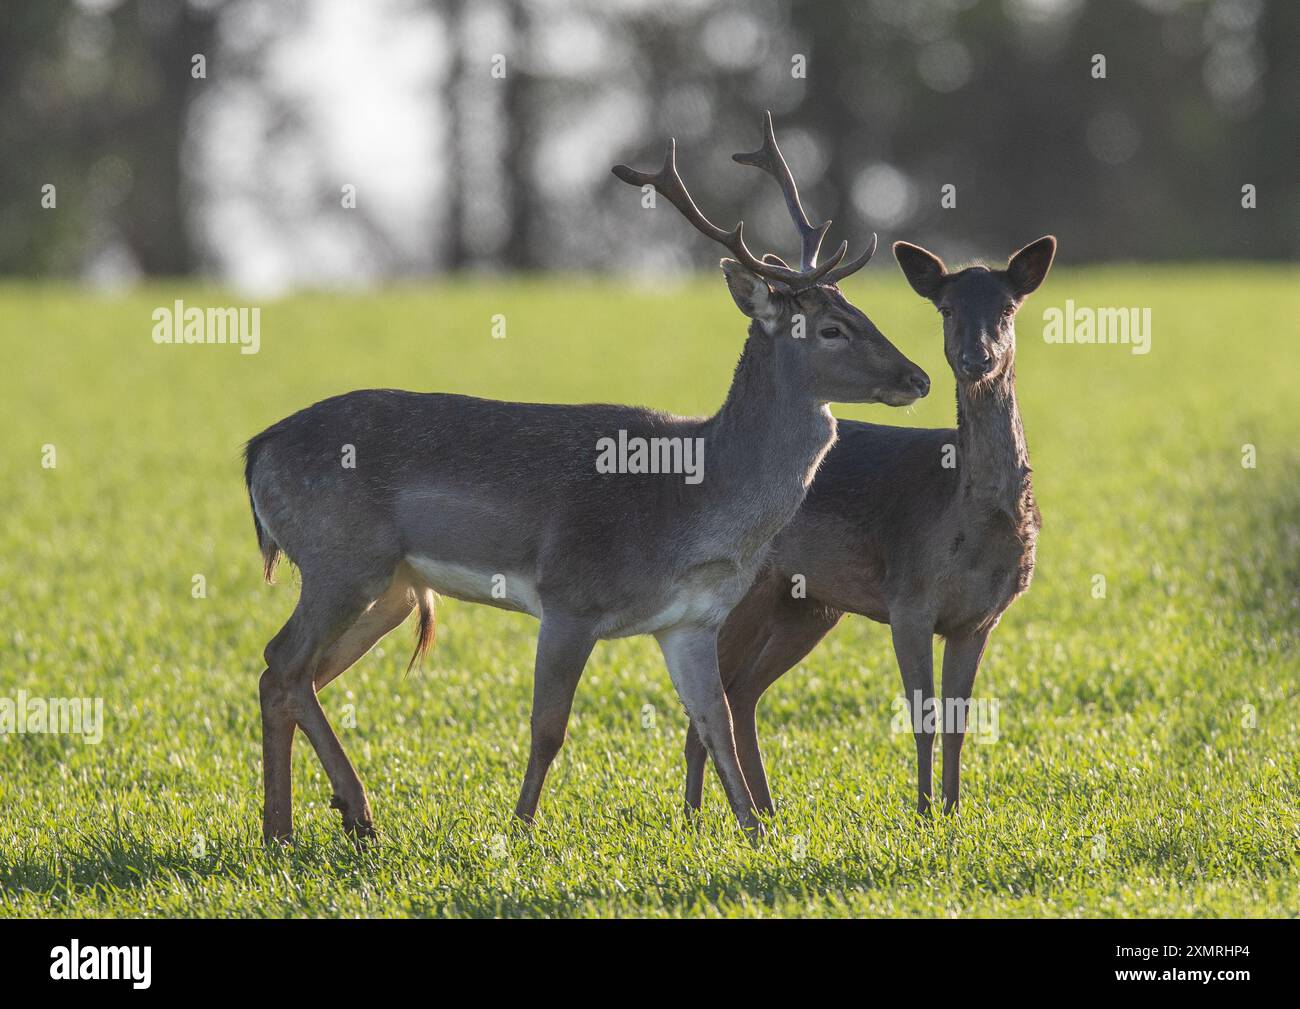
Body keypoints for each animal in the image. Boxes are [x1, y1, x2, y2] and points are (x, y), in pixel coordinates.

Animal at [242, 112, 931, 844]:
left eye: (862, 313)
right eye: (832, 328)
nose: (918, 377)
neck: (689, 500)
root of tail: (257, 449)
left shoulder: (690, 621)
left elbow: (714, 723)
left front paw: (755, 834)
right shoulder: (569, 595)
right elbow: (548, 729)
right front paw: (518, 831)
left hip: (391, 588)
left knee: (284, 675)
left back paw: (290, 827)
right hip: (342, 559)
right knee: (284, 662)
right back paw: (347, 814)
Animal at [682, 235, 1057, 819]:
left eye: (1007, 308)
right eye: (946, 309)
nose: (976, 360)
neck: (970, 522)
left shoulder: (980, 619)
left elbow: (959, 723)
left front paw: (954, 810)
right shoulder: (908, 598)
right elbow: (924, 718)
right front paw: (924, 813)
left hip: (806, 607)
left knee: (741, 694)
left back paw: (764, 810)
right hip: (743, 596)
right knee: (709, 702)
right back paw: (696, 819)